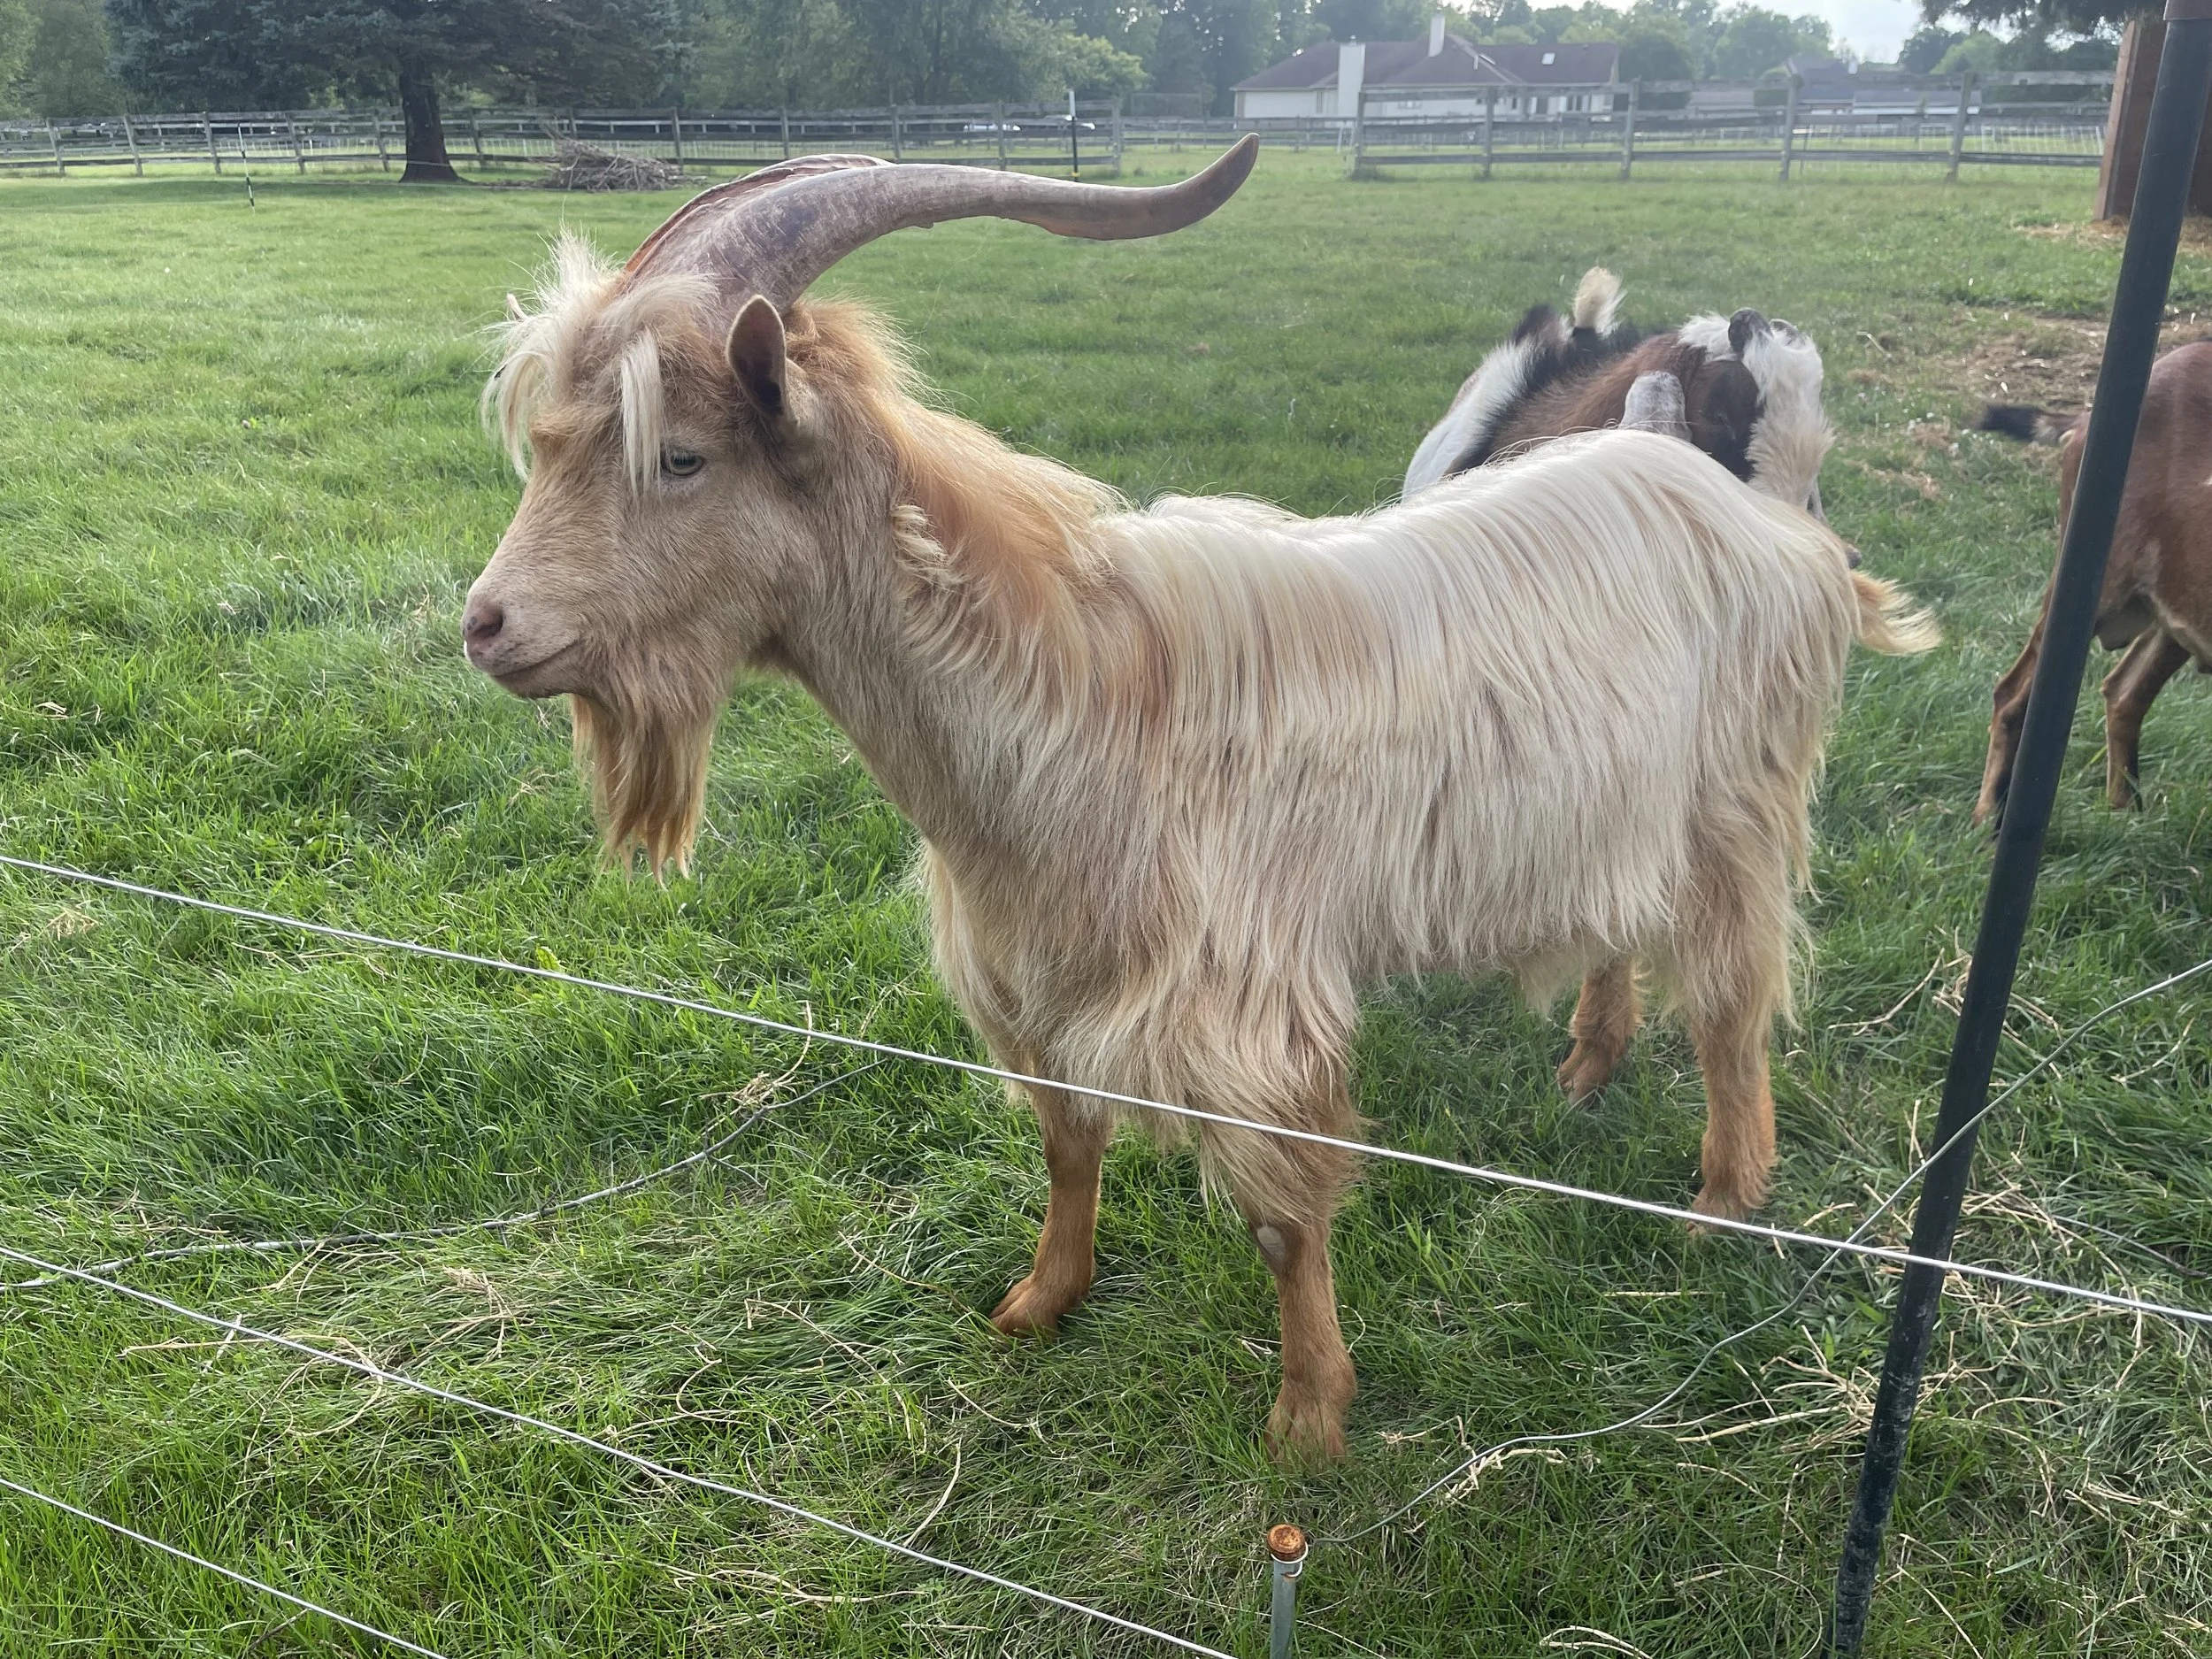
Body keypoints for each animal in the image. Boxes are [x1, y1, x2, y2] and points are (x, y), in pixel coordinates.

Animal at [1974, 340, 2212, 824]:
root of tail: (2085, 419)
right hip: (2094, 587)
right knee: (2011, 696)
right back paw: (1988, 819)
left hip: (2175, 609)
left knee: (2124, 693)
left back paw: (2128, 816)